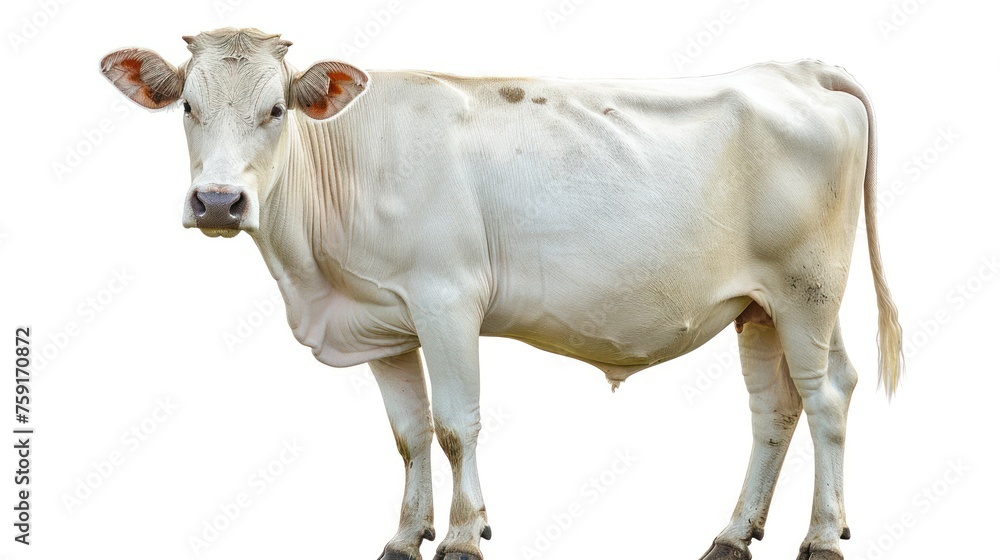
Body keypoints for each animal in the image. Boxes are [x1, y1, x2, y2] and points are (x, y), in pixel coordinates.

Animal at [101, 27, 903, 560]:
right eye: (187, 107)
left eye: (276, 110)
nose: (217, 201)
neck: (315, 280)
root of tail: (797, 69)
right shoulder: (384, 321)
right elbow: (409, 432)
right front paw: (405, 535)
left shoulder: (446, 298)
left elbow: (457, 425)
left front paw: (462, 534)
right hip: (758, 307)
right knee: (775, 408)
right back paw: (733, 535)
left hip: (808, 290)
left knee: (828, 394)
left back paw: (823, 537)